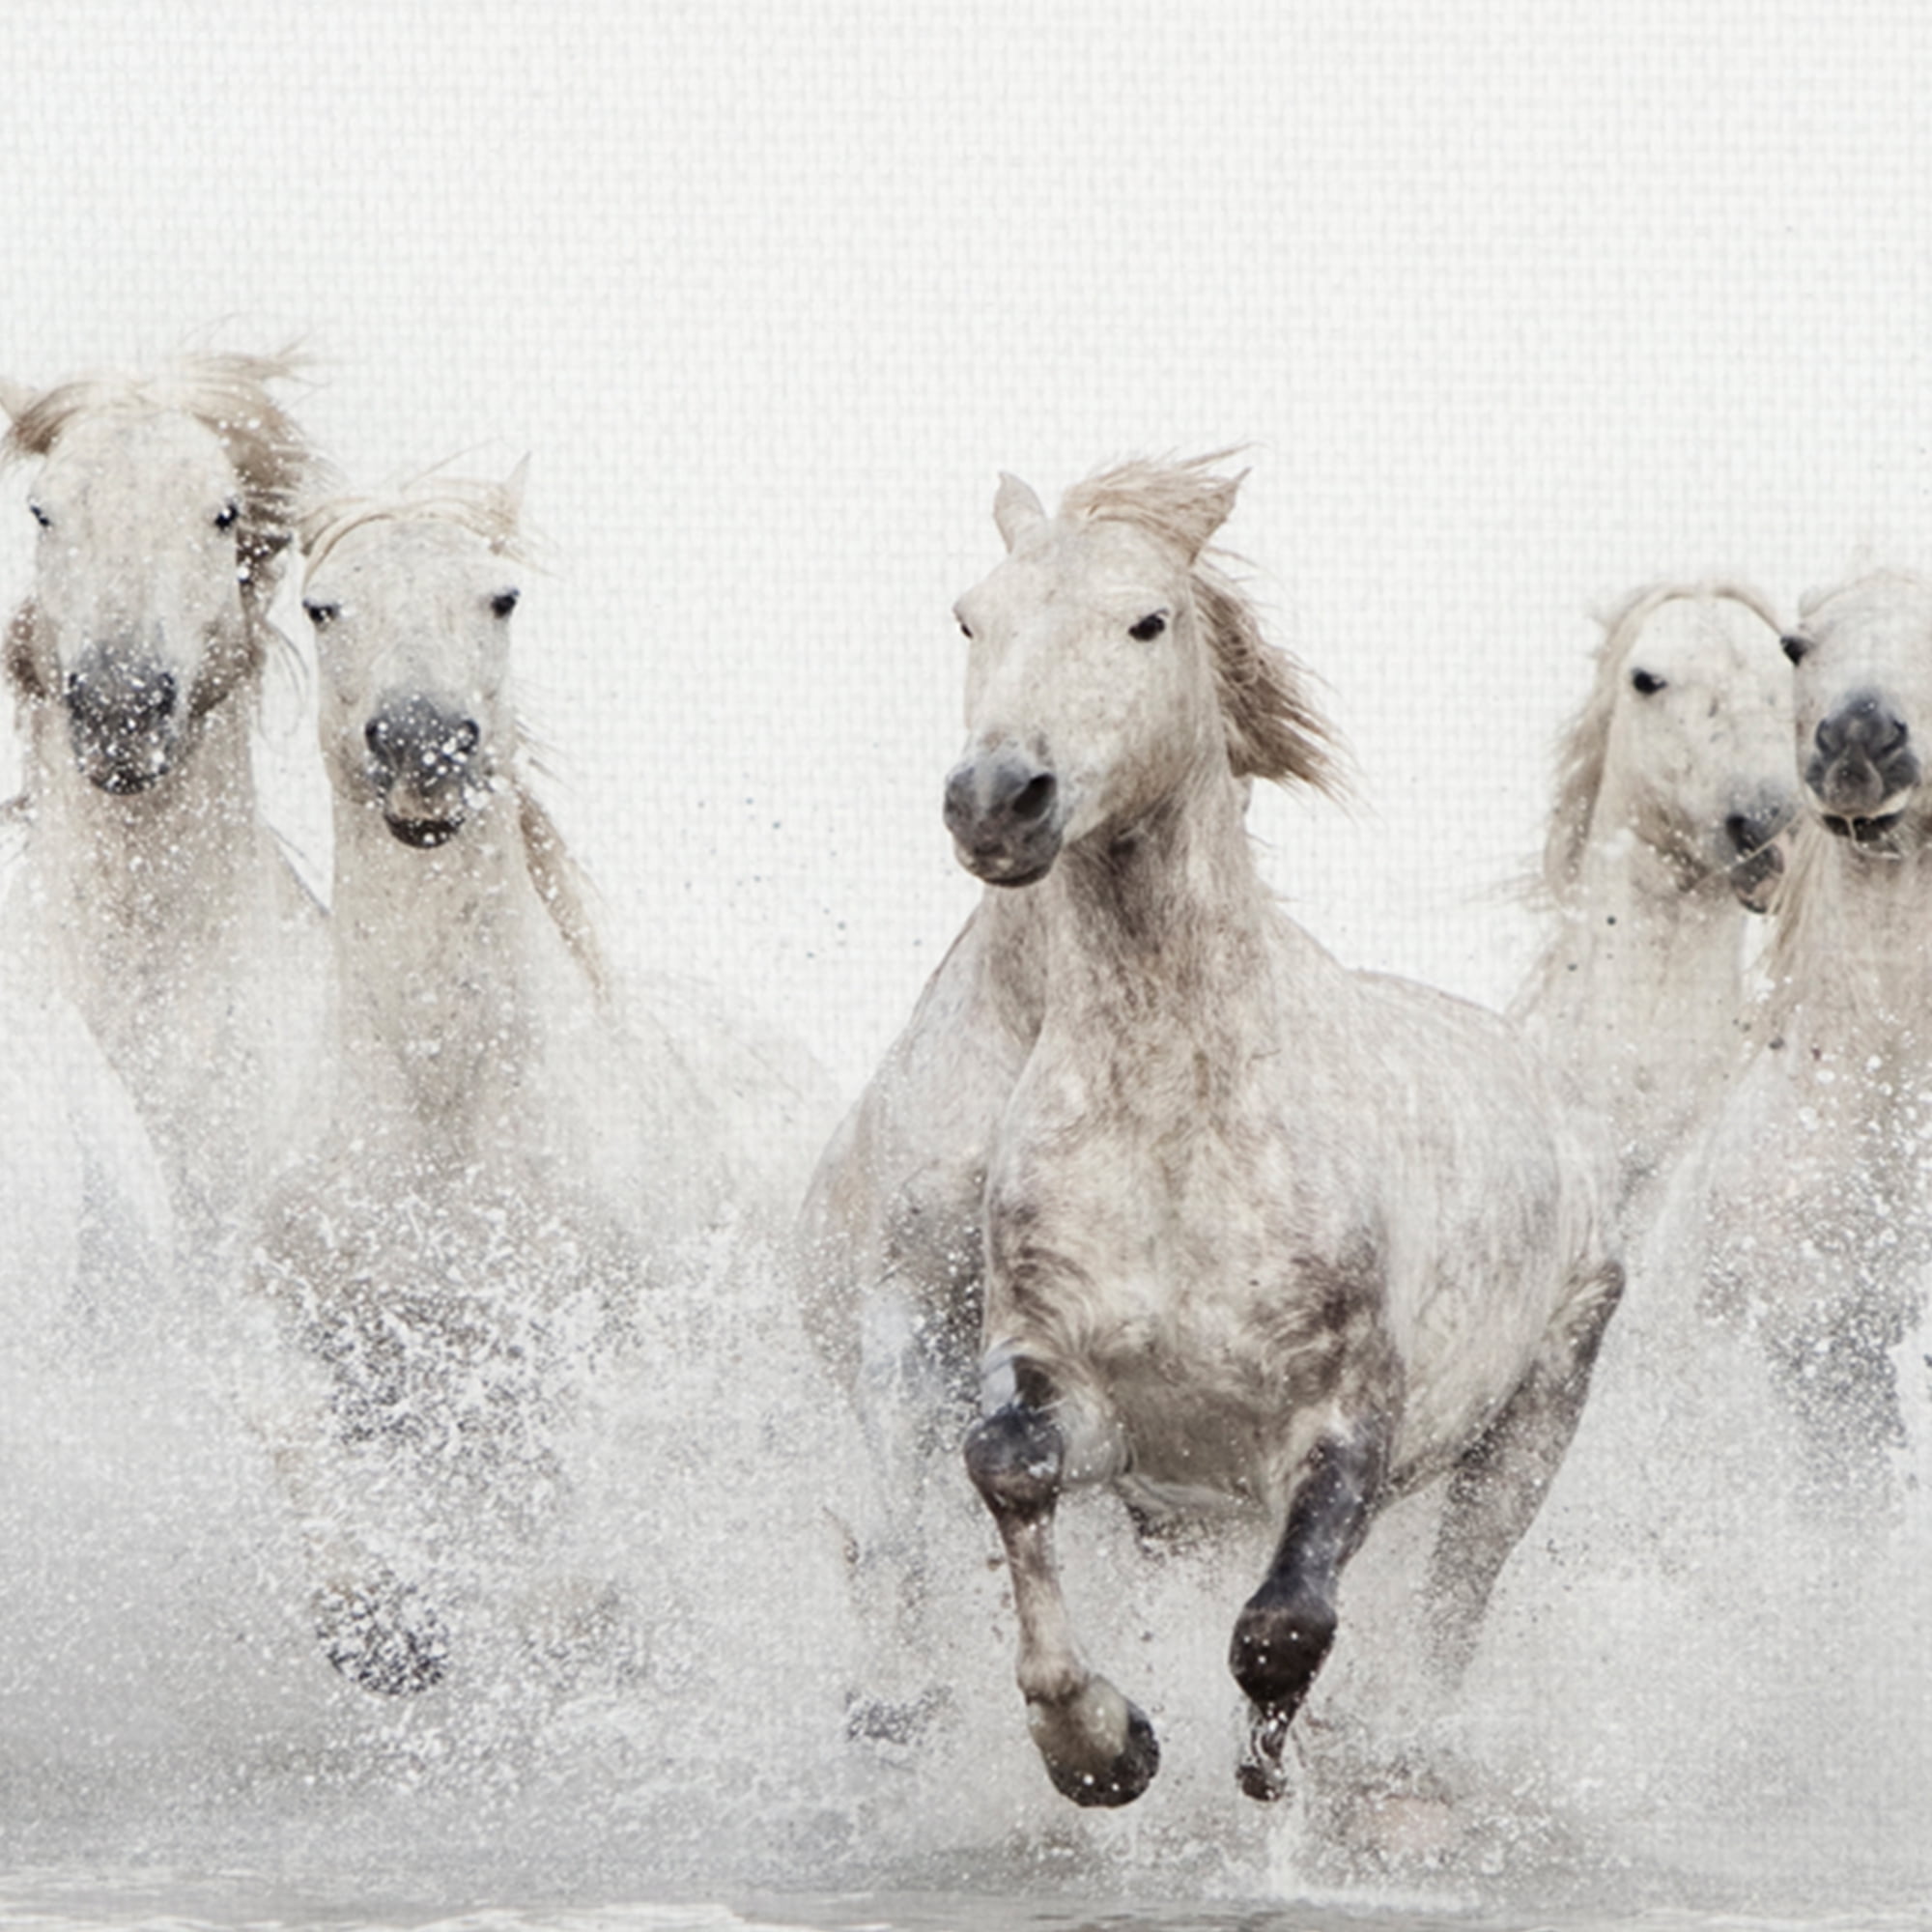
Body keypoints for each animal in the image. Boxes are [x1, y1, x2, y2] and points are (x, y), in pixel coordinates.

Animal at [249, 469, 831, 1694]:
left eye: (501, 595)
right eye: (323, 605)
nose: (424, 743)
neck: (441, 1104)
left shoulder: (585, 1365)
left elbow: (572, 1557)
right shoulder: (310, 1319)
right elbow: (286, 1426)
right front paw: (380, 1624)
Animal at [815, 456, 1623, 1809]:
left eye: (1148, 620)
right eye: (970, 618)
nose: (997, 800)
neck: (1172, 1116)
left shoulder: (1345, 1417)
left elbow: (1282, 1624)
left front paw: (1266, 1763)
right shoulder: (1077, 1390)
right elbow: (1002, 1464)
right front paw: (1100, 1745)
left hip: (1532, 1418)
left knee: (1455, 1596)